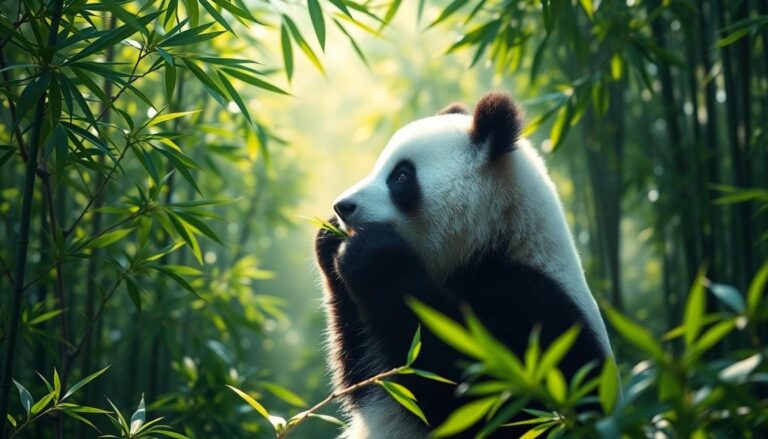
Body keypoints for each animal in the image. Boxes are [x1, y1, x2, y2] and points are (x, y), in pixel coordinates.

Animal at [314, 92, 613, 438]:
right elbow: (366, 379)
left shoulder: (538, 311)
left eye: (401, 176)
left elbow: (485, 394)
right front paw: (329, 238)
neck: (499, 240)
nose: (342, 206)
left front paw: (374, 256)